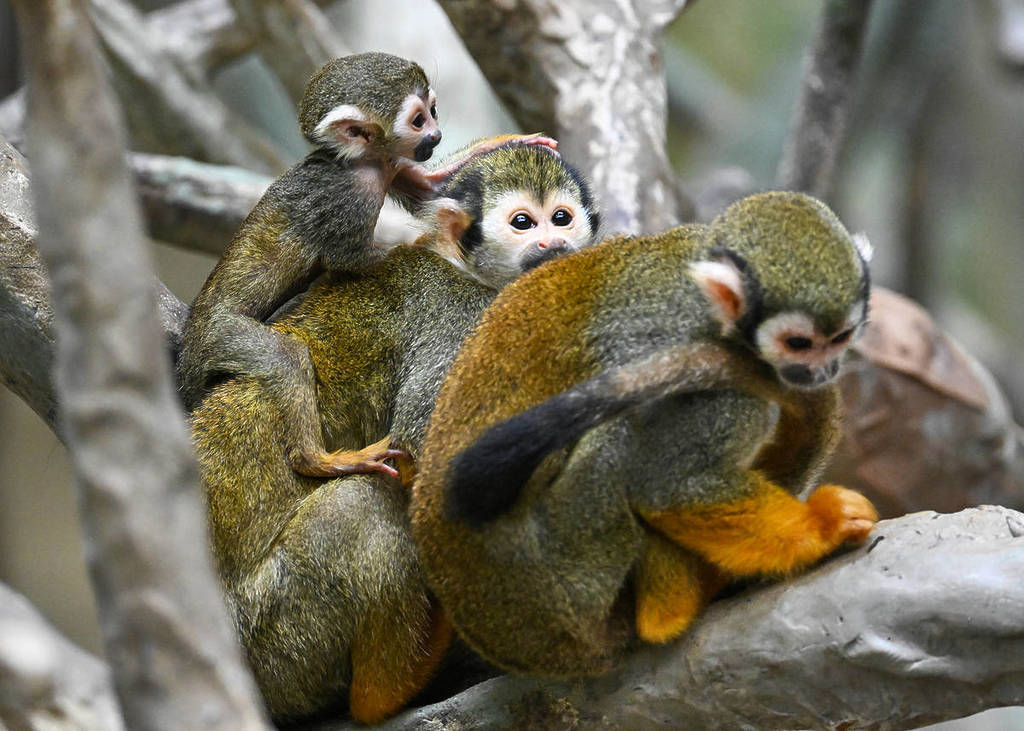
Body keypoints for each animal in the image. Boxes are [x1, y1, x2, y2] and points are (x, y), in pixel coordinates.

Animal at [190, 139, 600, 723]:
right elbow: (433, 455)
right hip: (274, 645)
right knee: (362, 502)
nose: (553, 243)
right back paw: (386, 691)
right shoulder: (461, 320)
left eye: (561, 218)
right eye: (523, 222)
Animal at [409, 191, 879, 678]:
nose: (822, 371)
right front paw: (823, 527)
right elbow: (672, 488)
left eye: (840, 338)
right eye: (798, 344)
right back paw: (666, 612)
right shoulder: (713, 375)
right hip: (563, 588)